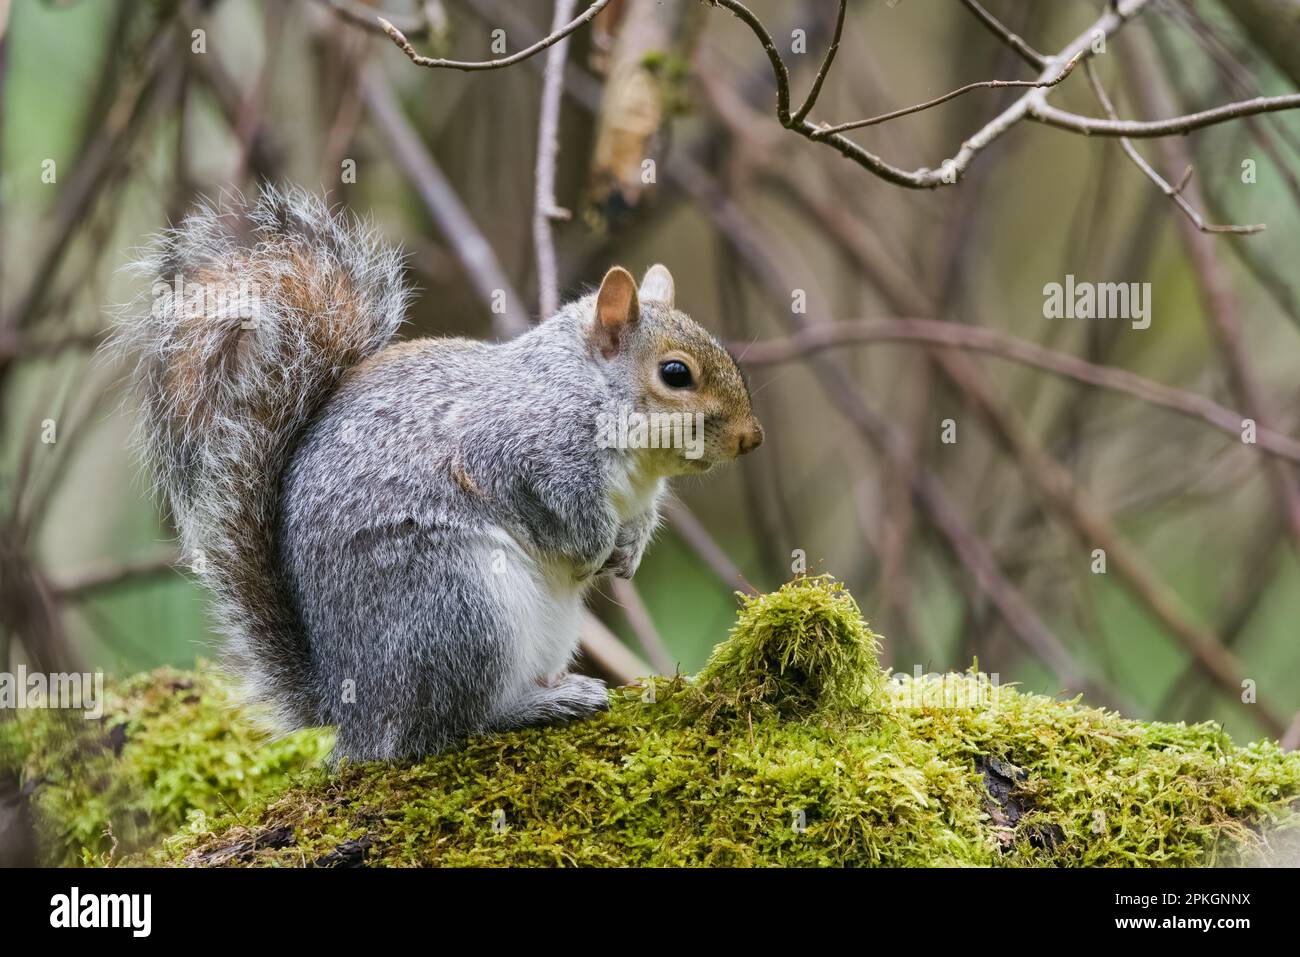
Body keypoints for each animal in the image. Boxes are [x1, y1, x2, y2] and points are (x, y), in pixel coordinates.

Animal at [113, 187, 763, 762]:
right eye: (675, 374)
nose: (751, 439)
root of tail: (352, 710)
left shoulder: (640, 495)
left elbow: (640, 521)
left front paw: (628, 554)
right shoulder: (518, 452)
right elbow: (564, 512)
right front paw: (596, 550)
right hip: (456, 605)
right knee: (448, 725)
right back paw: (531, 707)